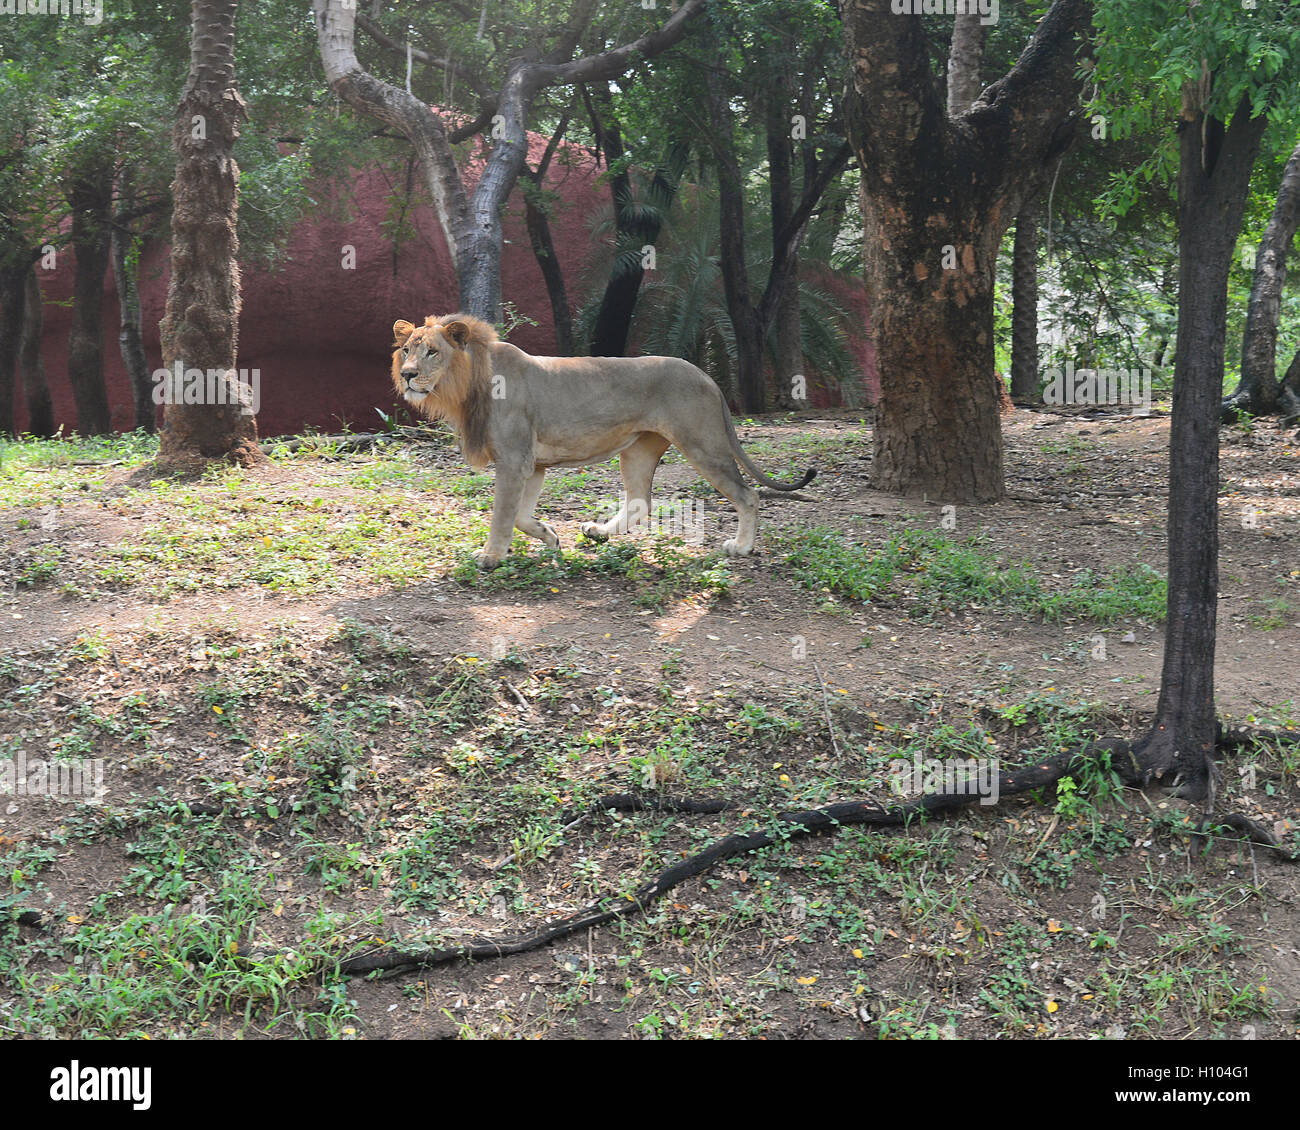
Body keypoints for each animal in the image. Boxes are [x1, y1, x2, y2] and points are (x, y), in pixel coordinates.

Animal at [391, 313, 816, 568]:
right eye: (407, 349)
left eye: (433, 352)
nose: (408, 375)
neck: (468, 385)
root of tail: (707, 376)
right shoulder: (533, 464)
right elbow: (523, 515)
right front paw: (550, 538)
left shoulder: (514, 460)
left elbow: (501, 515)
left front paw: (491, 556)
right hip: (639, 450)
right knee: (641, 502)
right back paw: (598, 533)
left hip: (703, 443)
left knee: (748, 494)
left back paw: (741, 547)